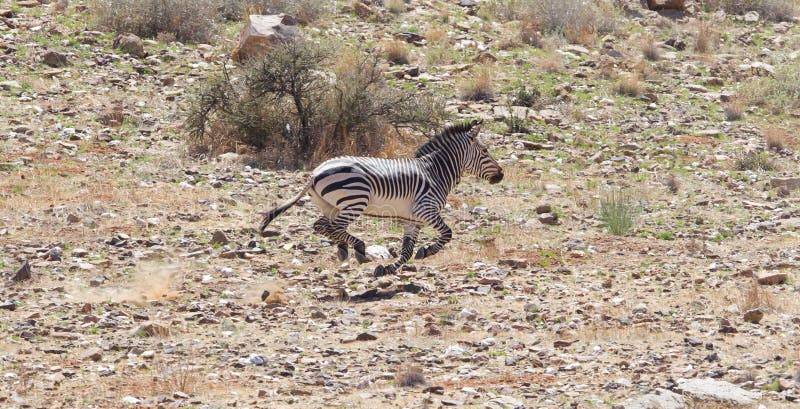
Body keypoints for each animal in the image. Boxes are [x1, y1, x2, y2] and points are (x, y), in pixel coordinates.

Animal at [259, 119, 504, 276]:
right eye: (484, 151)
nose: (501, 175)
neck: (434, 171)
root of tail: (315, 173)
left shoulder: (413, 220)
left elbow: (406, 251)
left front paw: (387, 269)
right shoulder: (426, 210)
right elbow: (447, 234)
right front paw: (426, 251)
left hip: (331, 206)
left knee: (322, 225)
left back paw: (344, 249)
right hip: (356, 199)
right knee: (332, 227)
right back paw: (358, 248)